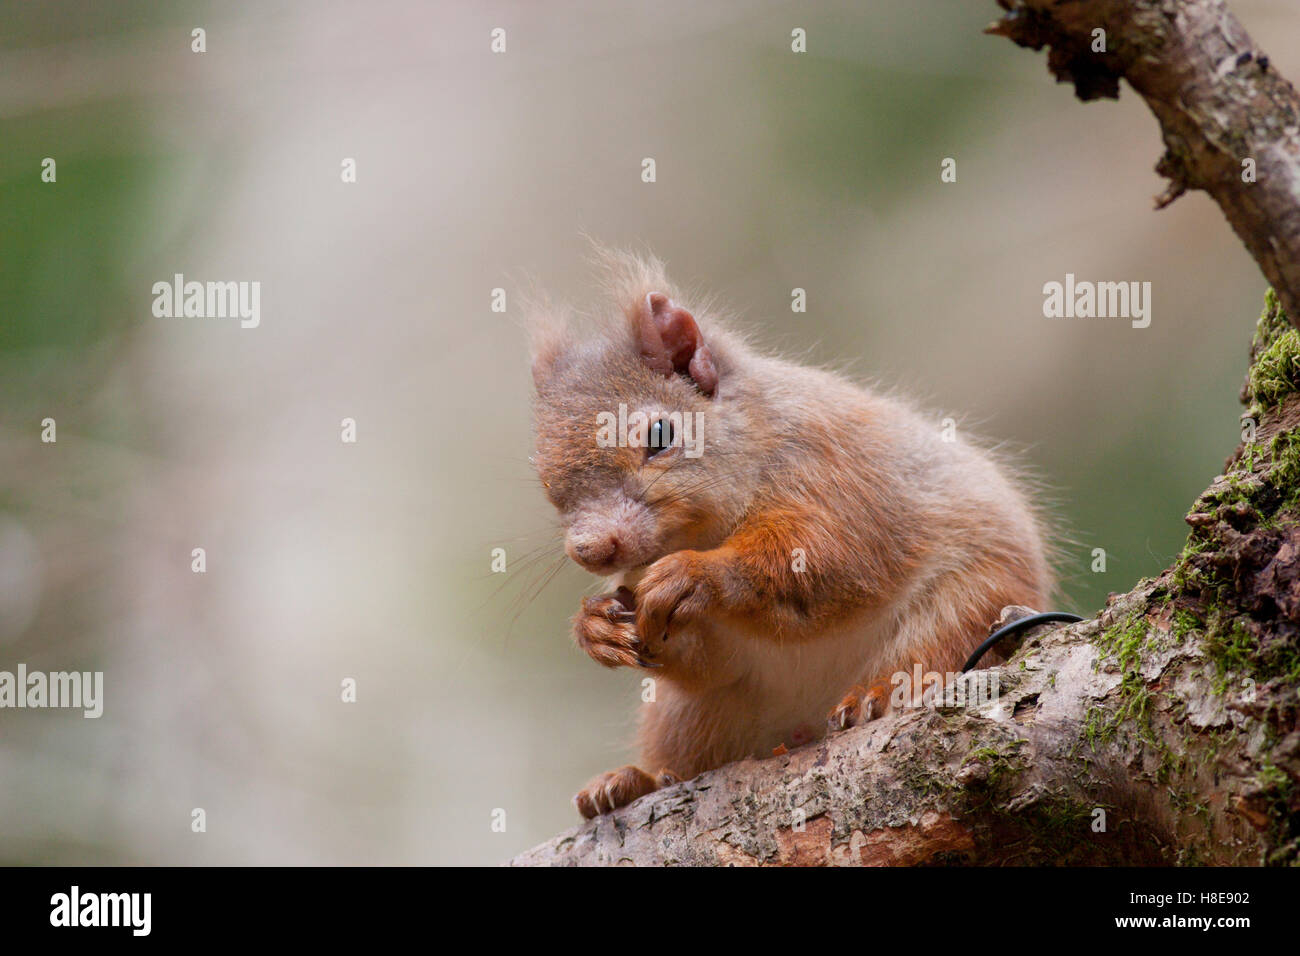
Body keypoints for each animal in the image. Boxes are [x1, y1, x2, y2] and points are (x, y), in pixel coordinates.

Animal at [527, 250, 1053, 819]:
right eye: (545, 478)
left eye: (661, 435)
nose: (592, 550)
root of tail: (800, 728)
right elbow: (707, 661)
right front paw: (595, 625)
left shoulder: (834, 476)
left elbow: (823, 562)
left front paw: (697, 574)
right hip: (689, 716)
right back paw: (627, 784)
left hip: (967, 602)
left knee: (930, 656)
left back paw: (877, 696)